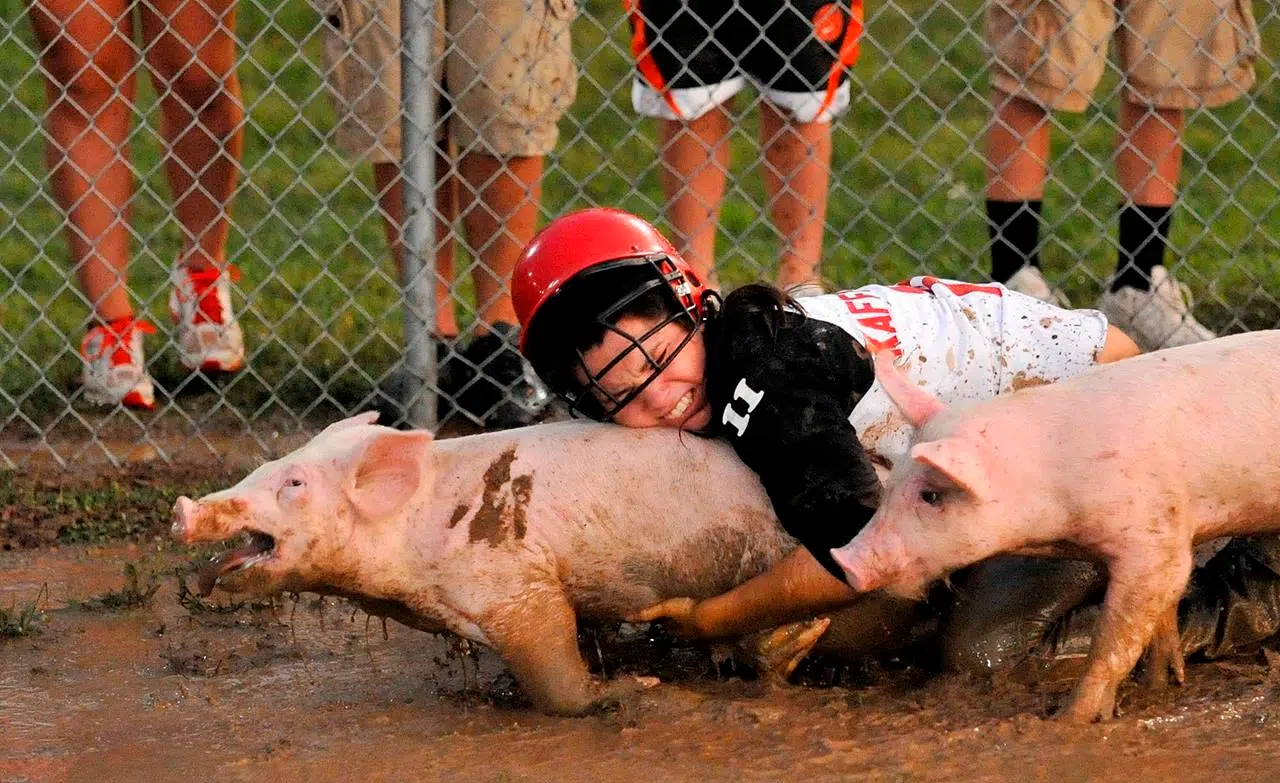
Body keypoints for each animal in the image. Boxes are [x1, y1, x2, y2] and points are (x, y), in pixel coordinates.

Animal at [171, 414, 813, 715]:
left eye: (294, 483)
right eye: (264, 467)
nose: (182, 509)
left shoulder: (513, 578)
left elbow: (551, 652)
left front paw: (634, 688)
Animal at [831, 331, 1280, 722]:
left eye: (931, 496)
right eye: (893, 483)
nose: (844, 559)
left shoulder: (1152, 541)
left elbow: (1113, 639)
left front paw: (1068, 720)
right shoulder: (1173, 533)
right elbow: (1161, 620)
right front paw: (1161, 685)